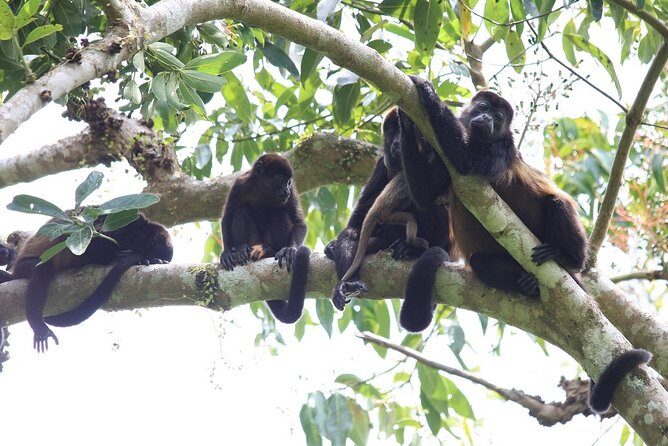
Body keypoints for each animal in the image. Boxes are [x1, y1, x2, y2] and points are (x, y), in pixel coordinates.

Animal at [10, 214, 173, 352]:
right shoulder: (123, 227)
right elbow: (91, 242)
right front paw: (139, 258)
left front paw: (147, 260)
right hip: (23, 267)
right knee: (43, 269)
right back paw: (38, 326)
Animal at [220, 153, 310, 324]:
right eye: (281, 181)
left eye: (289, 182)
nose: (286, 190)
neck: (263, 191)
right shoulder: (239, 185)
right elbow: (227, 217)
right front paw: (227, 253)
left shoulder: (293, 192)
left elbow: (299, 223)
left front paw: (290, 250)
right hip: (254, 239)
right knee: (241, 212)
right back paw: (242, 249)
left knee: (279, 213)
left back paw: (269, 249)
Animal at [399, 76, 588, 332]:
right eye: (483, 108)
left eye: (498, 117)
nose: (487, 118)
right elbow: (425, 196)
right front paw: (405, 121)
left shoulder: (503, 149)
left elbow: (466, 162)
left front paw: (429, 93)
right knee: (479, 262)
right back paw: (528, 285)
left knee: (557, 203)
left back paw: (566, 257)